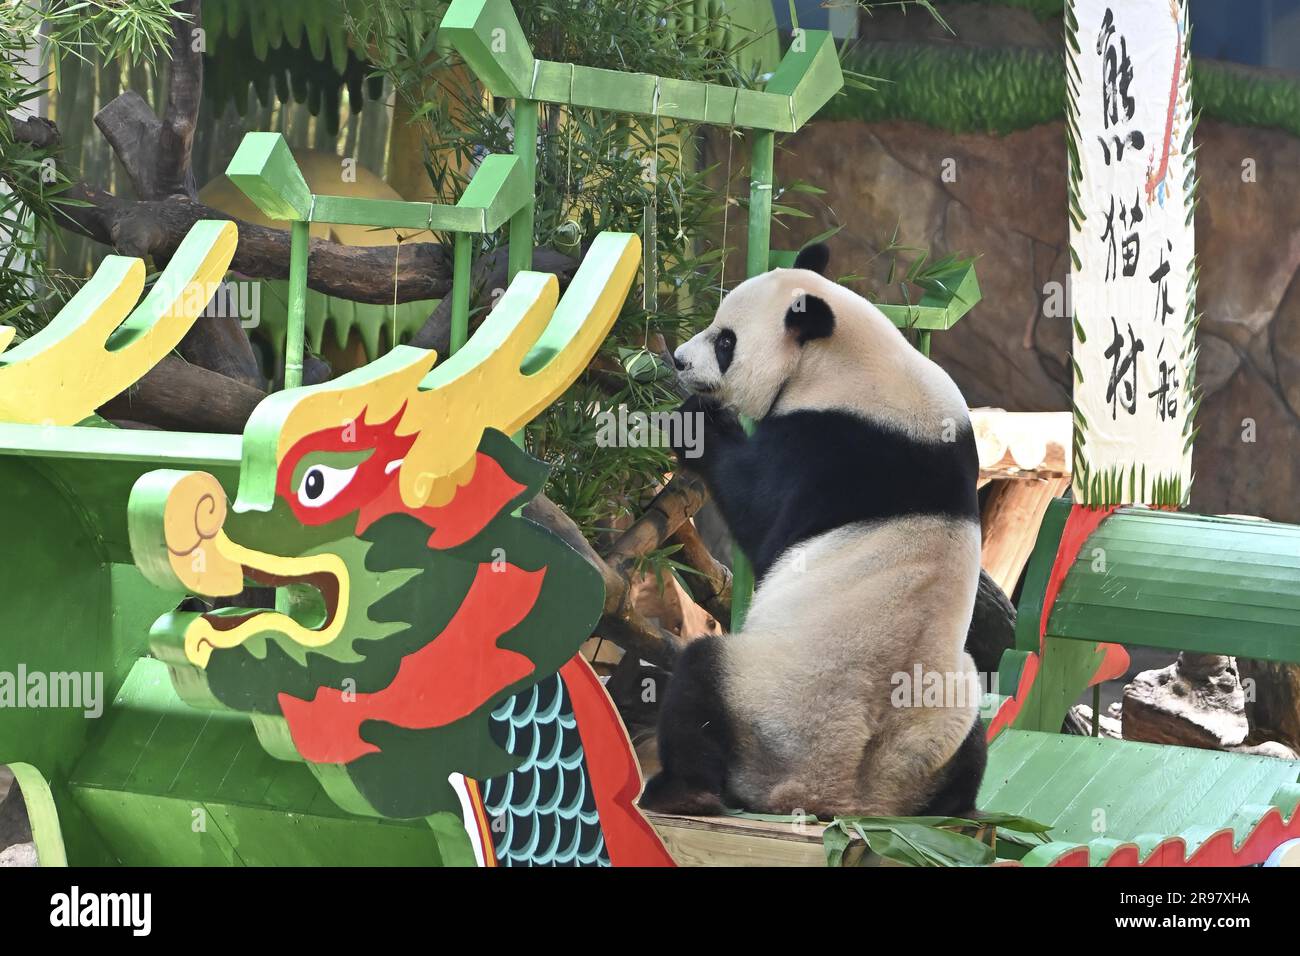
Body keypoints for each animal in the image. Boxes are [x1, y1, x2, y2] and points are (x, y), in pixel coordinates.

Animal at [639, 244, 987, 820]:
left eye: (726, 341)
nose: (682, 361)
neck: (844, 361)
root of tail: (837, 794)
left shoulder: (825, 446)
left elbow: (759, 513)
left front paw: (695, 422)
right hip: (942, 725)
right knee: (972, 743)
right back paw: (956, 811)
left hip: (768, 704)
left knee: (701, 678)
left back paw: (682, 791)